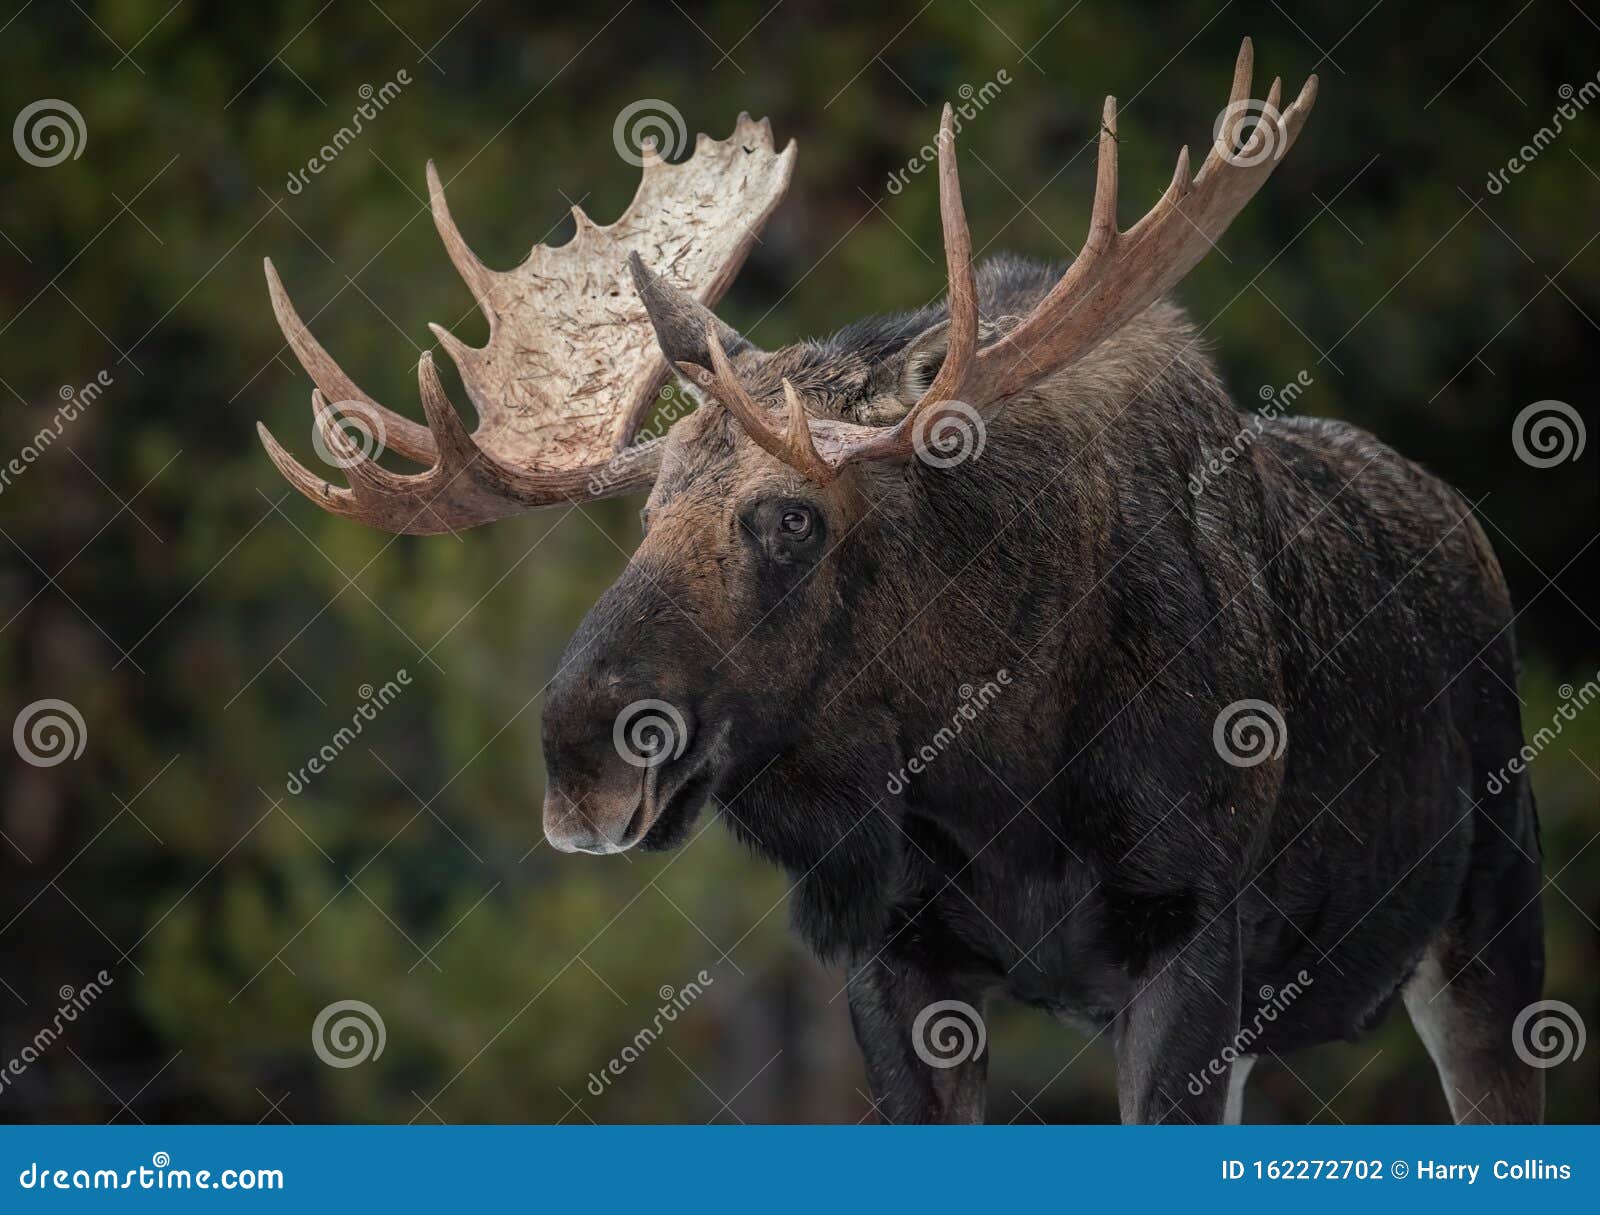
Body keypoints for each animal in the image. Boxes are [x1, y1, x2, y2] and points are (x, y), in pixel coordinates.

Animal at [256, 40, 1544, 1124]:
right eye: (644, 514)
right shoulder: (897, 957)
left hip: (1491, 912)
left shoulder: (1192, 935)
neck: (1000, 772)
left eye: (793, 516)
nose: (583, 758)